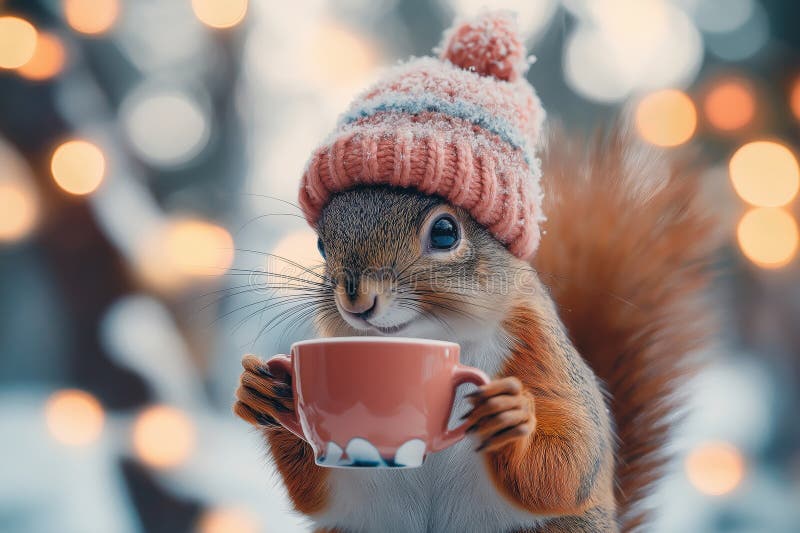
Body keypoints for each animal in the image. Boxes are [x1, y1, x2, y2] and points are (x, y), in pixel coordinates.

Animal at [234, 11, 713, 533]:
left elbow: (568, 467)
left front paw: (512, 419)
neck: (436, 338)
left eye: (446, 232)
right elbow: (325, 490)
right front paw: (267, 394)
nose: (356, 298)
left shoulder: (540, 352)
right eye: (322, 243)